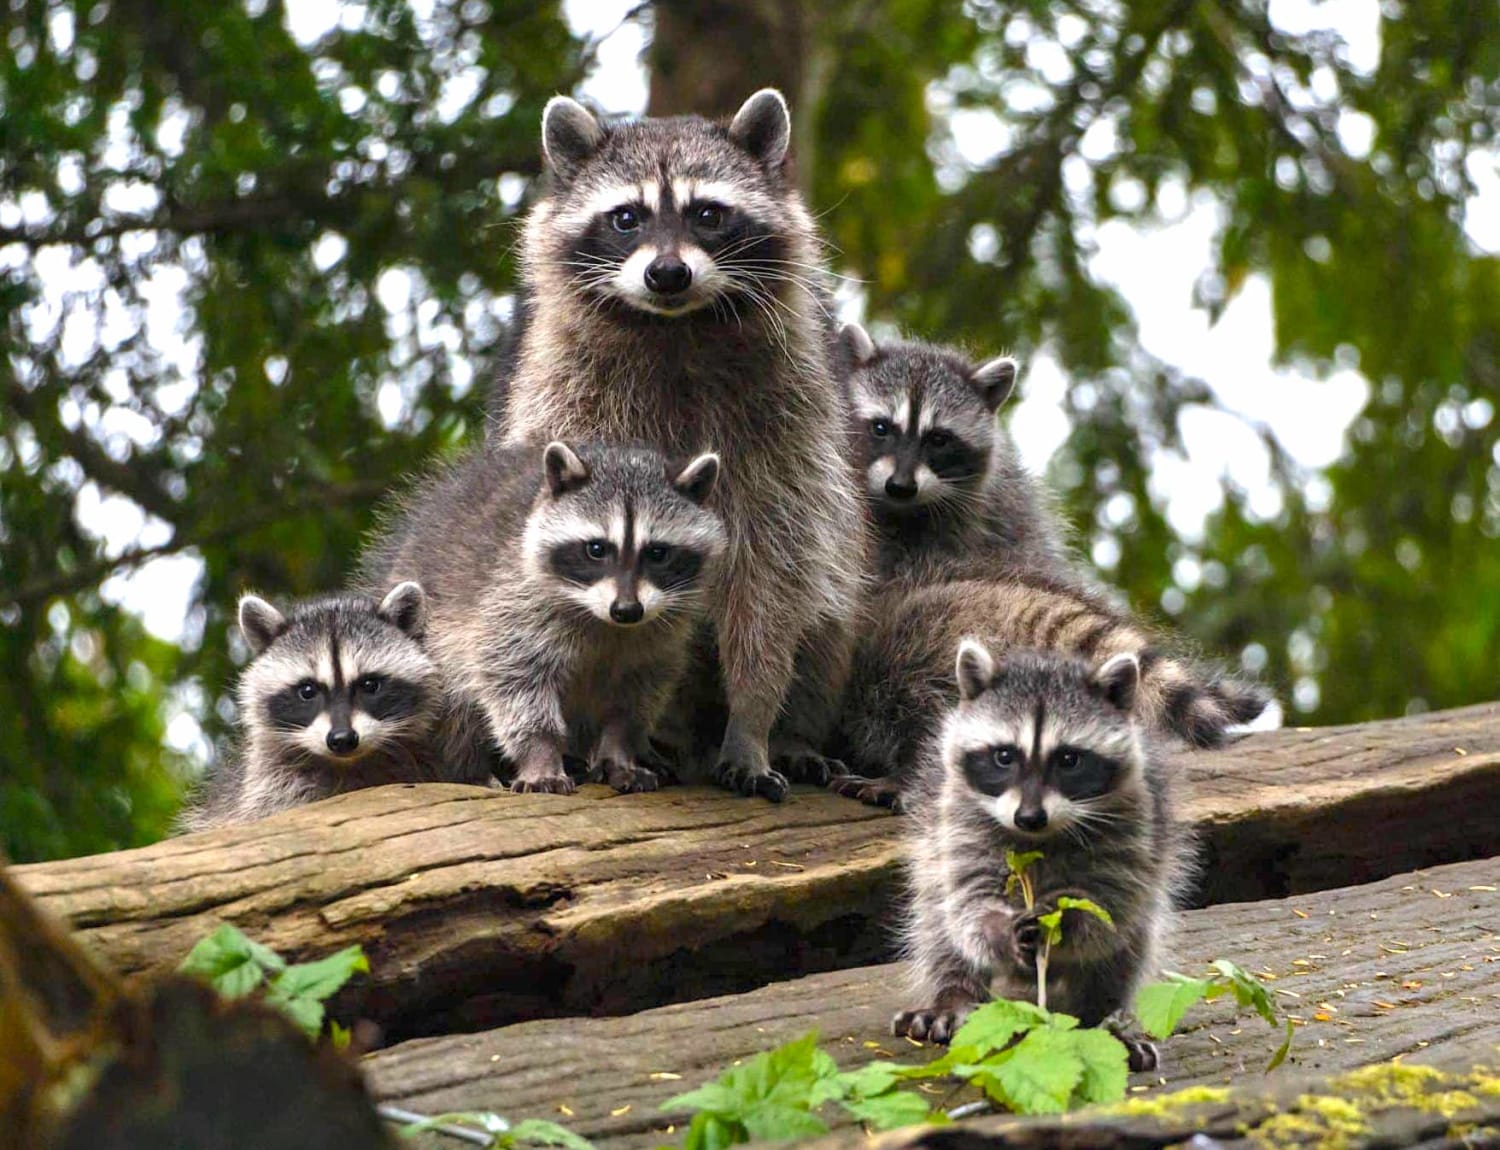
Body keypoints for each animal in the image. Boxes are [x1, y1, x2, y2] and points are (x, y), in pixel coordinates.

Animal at [361, 440, 726, 795]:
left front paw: (620, 752)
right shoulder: (512, 604)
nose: (626, 610)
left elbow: (633, 699)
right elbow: (515, 681)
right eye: (596, 549)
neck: (604, 621)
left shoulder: (660, 636)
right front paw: (541, 756)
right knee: (455, 706)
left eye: (658, 553)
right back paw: (472, 770)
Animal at [494, 89, 867, 800]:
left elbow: (772, 574)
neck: (676, 329)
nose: (668, 273)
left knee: (827, 608)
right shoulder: (568, 396)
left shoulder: (786, 431)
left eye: (708, 214)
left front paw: (754, 720)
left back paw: (795, 733)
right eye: (626, 218)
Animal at [893, 641, 1195, 1071]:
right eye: (1004, 756)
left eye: (1069, 760)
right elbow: (969, 906)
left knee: (1130, 944)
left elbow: (1108, 907)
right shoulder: (957, 817)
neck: (1038, 837)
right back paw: (954, 994)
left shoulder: (1135, 822)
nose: (1030, 817)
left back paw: (1105, 1016)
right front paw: (998, 931)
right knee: (937, 923)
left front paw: (1064, 919)